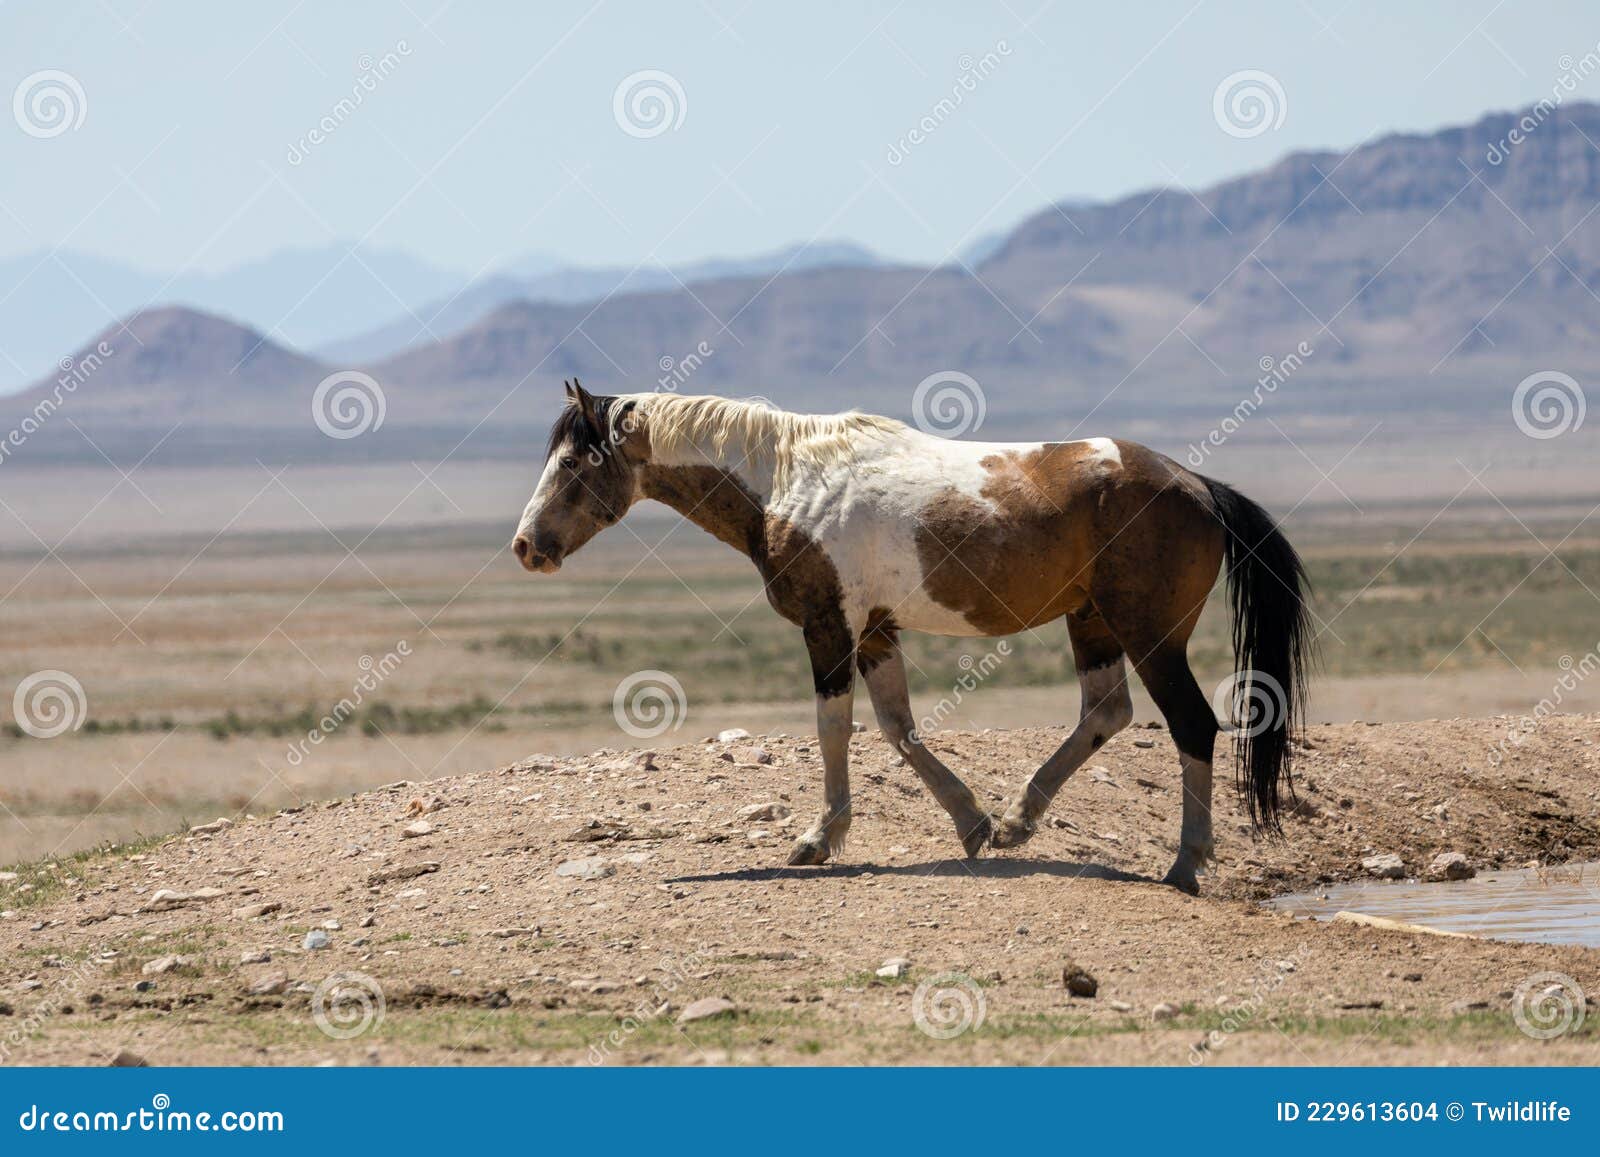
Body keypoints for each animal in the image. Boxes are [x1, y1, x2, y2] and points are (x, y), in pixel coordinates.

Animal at [512, 381, 1312, 893]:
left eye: (574, 462)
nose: (526, 547)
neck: (788, 482)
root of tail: (1197, 484)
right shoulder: (875, 631)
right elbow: (899, 728)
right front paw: (974, 824)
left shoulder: (829, 628)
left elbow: (834, 728)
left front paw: (818, 839)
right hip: (1093, 623)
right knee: (1106, 712)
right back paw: (1019, 821)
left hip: (1149, 635)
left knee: (1192, 725)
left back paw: (1185, 863)